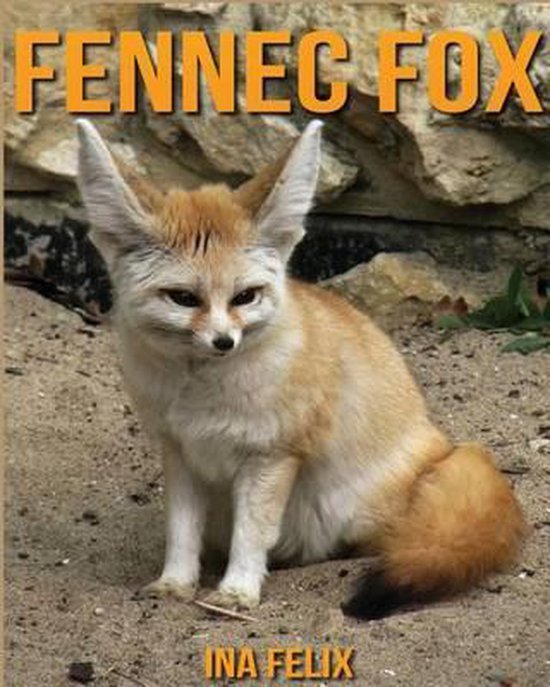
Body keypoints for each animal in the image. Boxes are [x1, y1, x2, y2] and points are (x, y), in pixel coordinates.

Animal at [76, 118, 527, 619]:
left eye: (245, 297)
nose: (223, 342)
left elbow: (251, 533)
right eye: (184, 299)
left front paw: (237, 591)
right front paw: (175, 583)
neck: (201, 394)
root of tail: (444, 449)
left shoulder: (272, 456)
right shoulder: (180, 451)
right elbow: (181, 532)